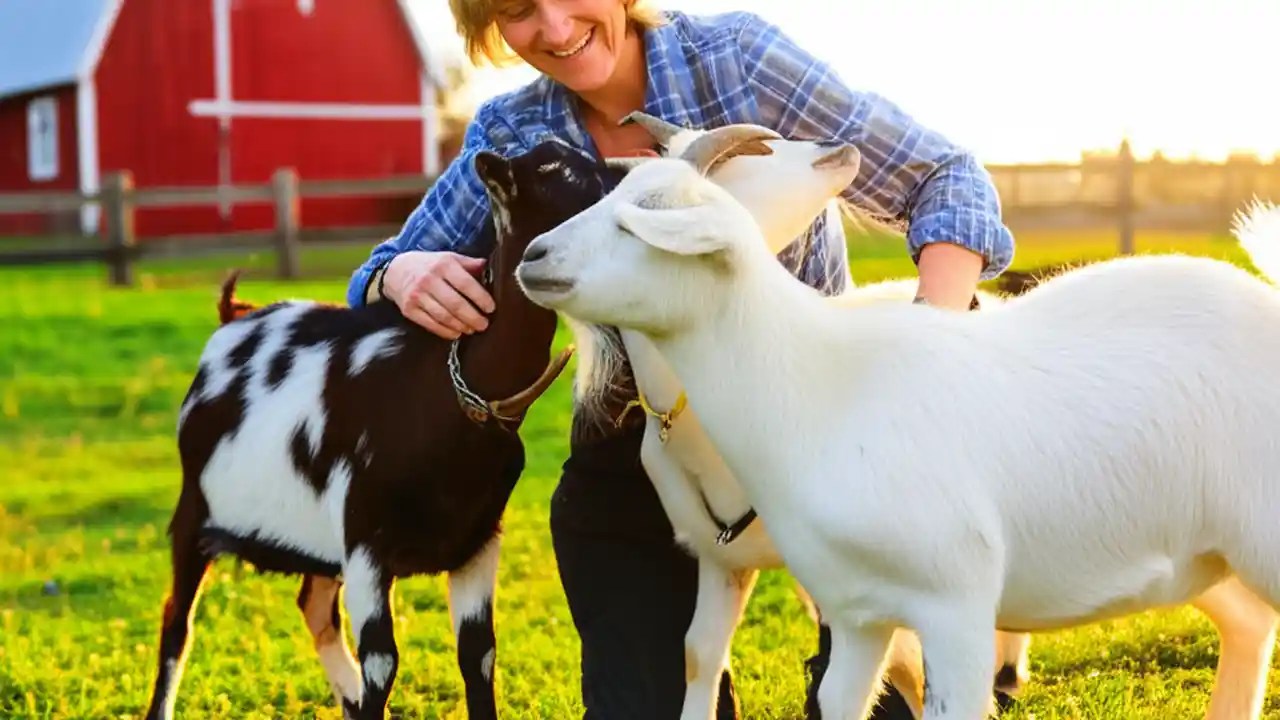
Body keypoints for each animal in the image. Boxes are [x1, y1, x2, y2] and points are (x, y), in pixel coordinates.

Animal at [142, 140, 627, 720]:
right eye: (559, 169)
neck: (452, 391)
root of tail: (232, 316)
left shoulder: (478, 540)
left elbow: (479, 654)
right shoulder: (366, 545)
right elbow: (383, 660)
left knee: (313, 608)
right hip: (194, 513)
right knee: (177, 623)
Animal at [516, 132, 1280, 720]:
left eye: (645, 216)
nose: (532, 257)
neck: (819, 384)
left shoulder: (957, 607)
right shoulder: (858, 614)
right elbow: (835, 700)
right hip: (1197, 553)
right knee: (1250, 623)